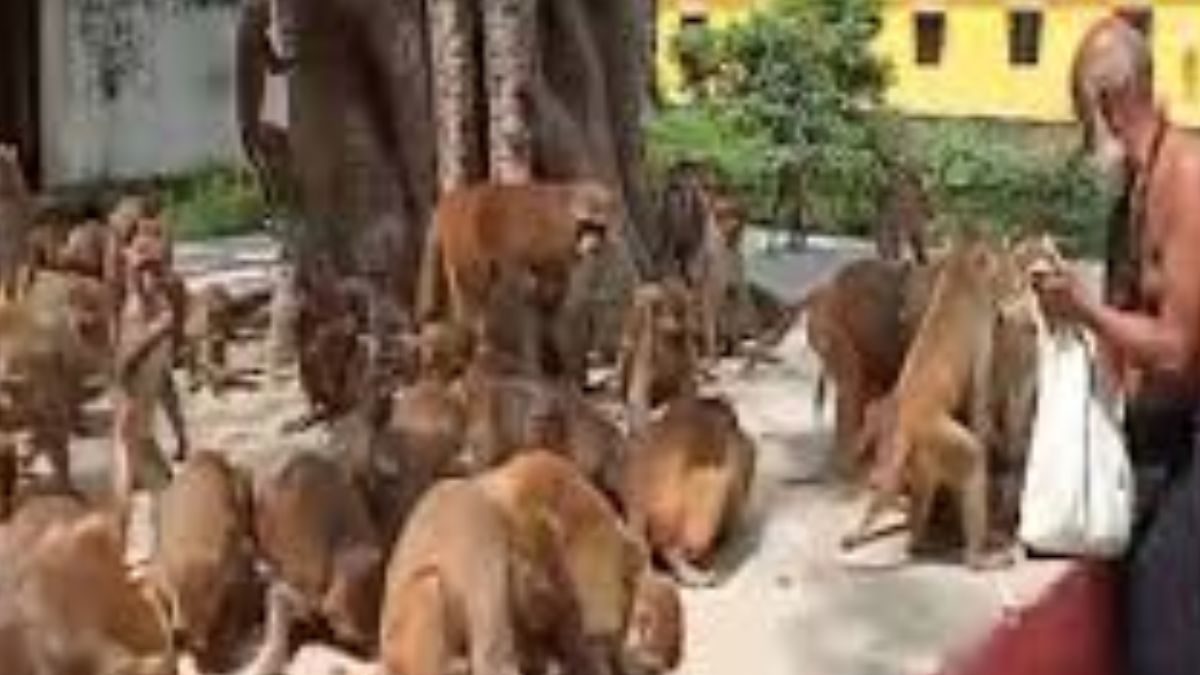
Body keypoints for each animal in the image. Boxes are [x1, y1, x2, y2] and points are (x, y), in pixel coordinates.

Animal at [841, 237, 1023, 569]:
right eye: (1003, 266)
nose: (1012, 281)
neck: (959, 277)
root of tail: (906, 420)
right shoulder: (982, 320)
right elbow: (979, 398)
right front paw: (993, 440)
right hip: (938, 435)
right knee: (972, 457)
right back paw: (977, 556)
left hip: (922, 452)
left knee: (924, 486)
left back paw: (916, 542)